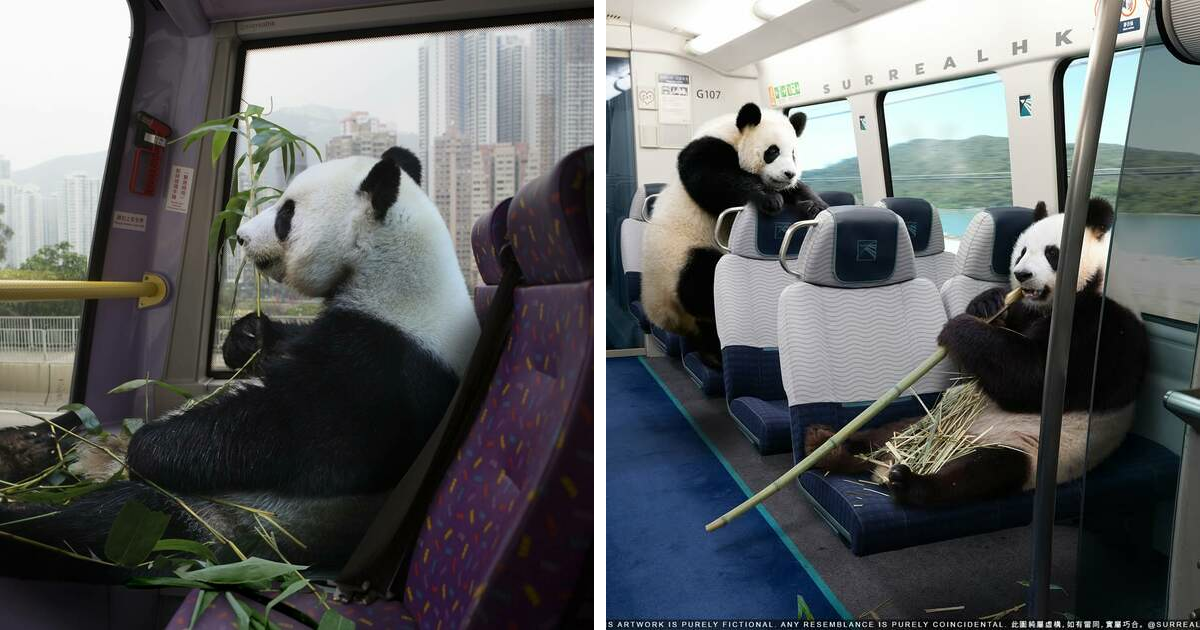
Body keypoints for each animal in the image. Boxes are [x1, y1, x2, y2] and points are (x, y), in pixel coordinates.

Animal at [0, 147, 479, 579]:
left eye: (286, 214)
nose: (243, 238)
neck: (394, 273)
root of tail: (94, 466)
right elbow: (277, 350)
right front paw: (245, 338)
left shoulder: (389, 364)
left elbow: (290, 433)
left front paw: (150, 447)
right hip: (105, 439)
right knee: (69, 431)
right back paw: (25, 448)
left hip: (206, 518)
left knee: (100, 519)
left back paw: (29, 508)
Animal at [641, 102, 828, 364]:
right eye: (772, 151)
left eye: (793, 154)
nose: (789, 174)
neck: (733, 134)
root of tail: (663, 318)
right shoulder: (706, 149)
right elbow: (715, 180)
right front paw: (768, 199)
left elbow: (798, 191)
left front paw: (814, 205)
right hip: (677, 261)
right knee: (701, 285)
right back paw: (713, 355)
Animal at [805, 198, 1148, 507]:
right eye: (1022, 250)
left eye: (1052, 252)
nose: (1022, 275)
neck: (1092, 282)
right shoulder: (1030, 310)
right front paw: (987, 303)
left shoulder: (1104, 330)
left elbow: (1033, 379)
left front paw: (959, 326)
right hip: (930, 419)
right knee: (889, 433)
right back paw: (827, 444)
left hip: (1027, 449)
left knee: (980, 472)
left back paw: (908, 483)